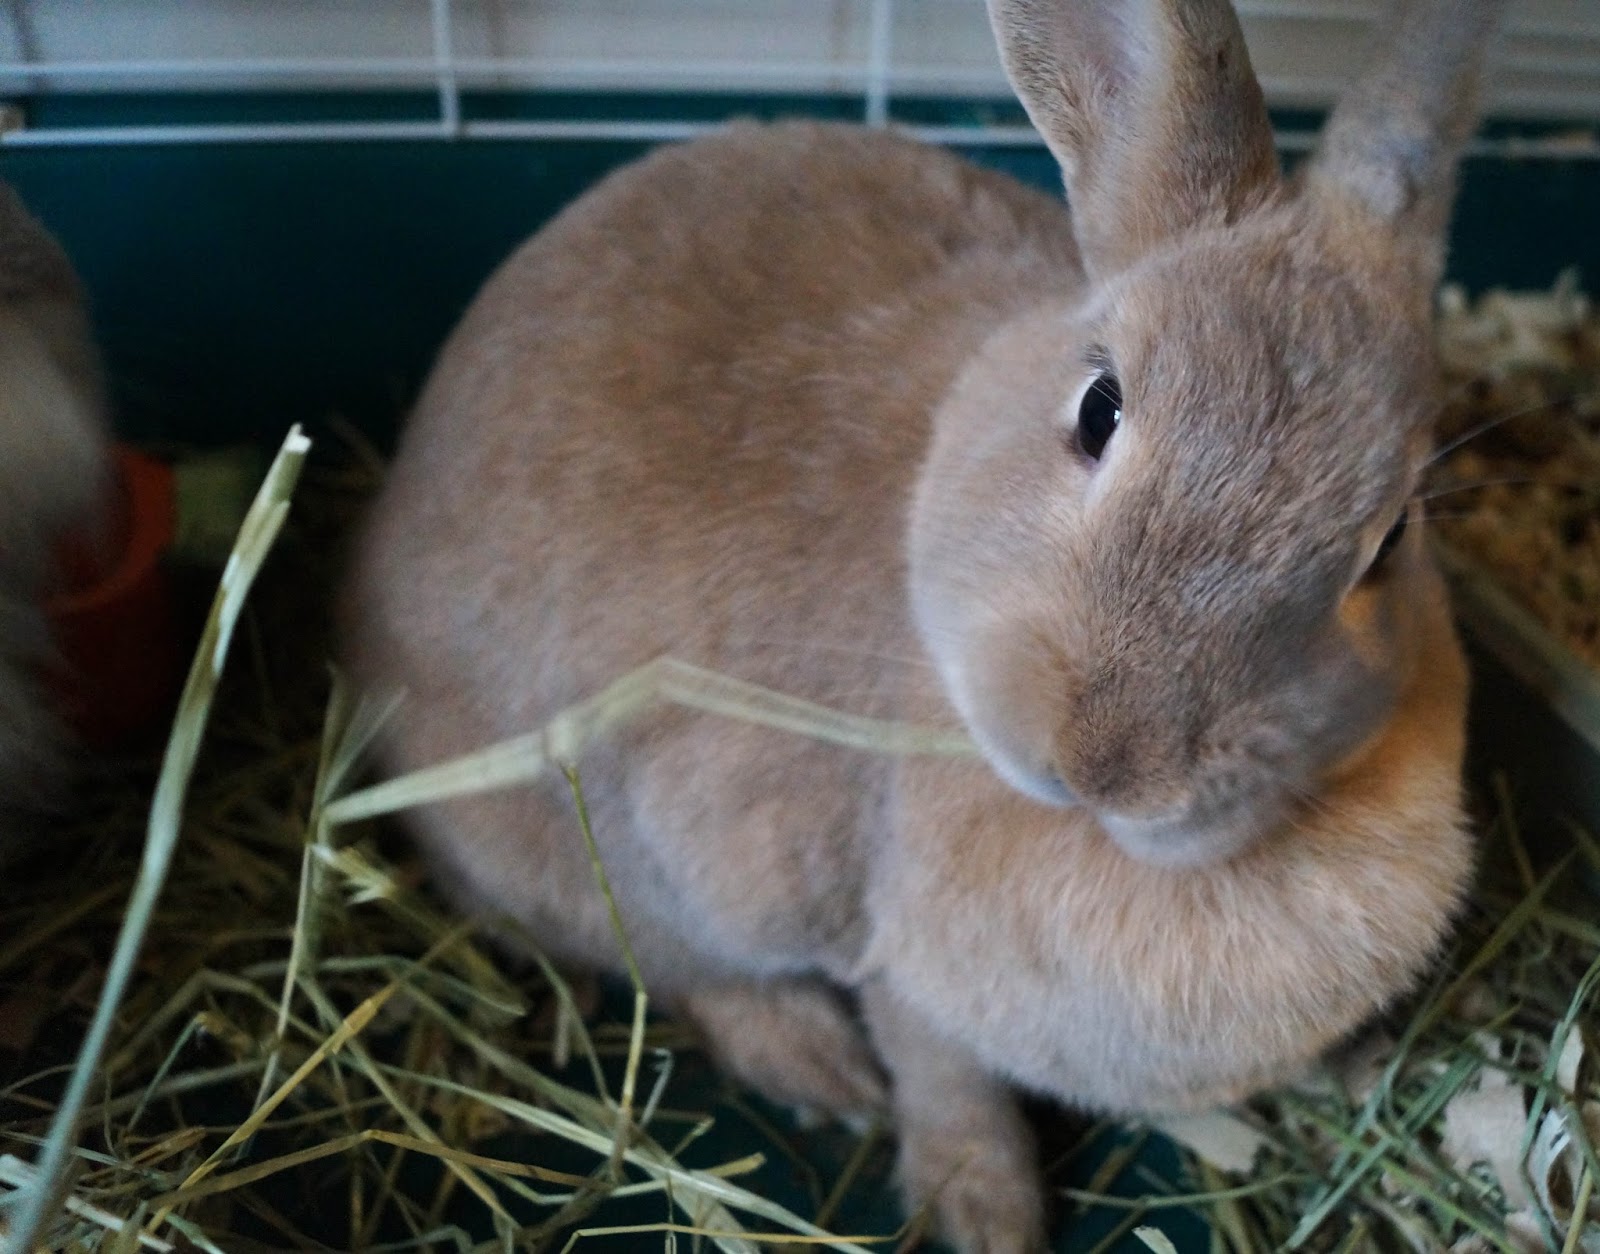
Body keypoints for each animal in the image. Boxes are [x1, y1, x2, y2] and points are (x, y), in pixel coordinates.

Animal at [341, 0, 1505, 1247]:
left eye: (1387, 542)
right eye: (1099, 409)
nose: (1106, 762)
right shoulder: (889, 959)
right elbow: (944, 1080)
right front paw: (984, 1214)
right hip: (576, 847)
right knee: (665, 963)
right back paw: (818, 1069)